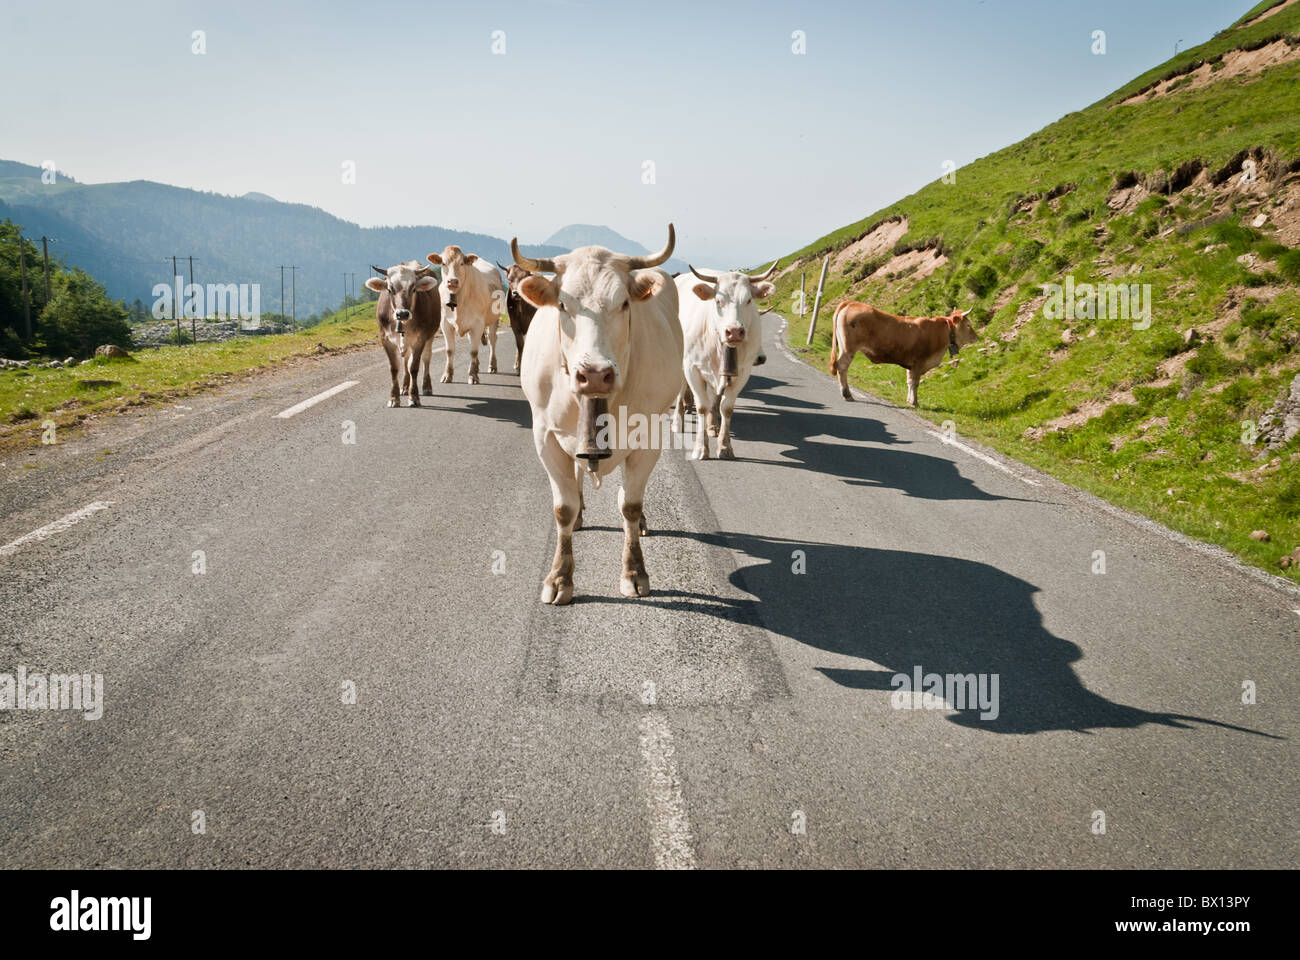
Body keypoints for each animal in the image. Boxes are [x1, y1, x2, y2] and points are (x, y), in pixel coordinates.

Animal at [364, 261, 440, 407]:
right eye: (389, 289)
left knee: (426, 358)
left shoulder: (420, 339)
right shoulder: (385, 339)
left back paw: (426, 387)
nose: (402, 314)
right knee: (405, 362)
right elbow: (394, 368)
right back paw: (404, 387)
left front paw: (414, 397)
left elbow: (414, 367)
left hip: (429, 337)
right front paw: (394, 397)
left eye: (414, 289)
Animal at [425, 246, 506, 384]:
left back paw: (492, 365)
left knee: (492, 340)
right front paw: (447, 375)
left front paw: (472, 375)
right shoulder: (445, 324)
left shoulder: (478, 324)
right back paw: (477, 366)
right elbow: (449, 350)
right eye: (443, 263)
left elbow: (473, 351)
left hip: (493, 320)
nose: (452, 281)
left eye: (461, 263)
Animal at [510, 224, 682, 605]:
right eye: (562, 304)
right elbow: (563, 508)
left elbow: (630, 504)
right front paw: (559, 577)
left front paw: (634, 572)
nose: (594, 374)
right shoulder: (545, 437)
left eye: (624, 303)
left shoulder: (649, 437)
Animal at [671, 262, 777, 459]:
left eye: (749, 300)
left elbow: (725, 407)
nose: (734, 331)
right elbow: (702, 406)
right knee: (681, 390)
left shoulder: (742, 373)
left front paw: (724, 445)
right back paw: (677, 421)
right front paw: (701, 448)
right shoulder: (692, 367)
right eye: (718, 301)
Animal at [829, 303, 978, 407]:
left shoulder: (911, 365)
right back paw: (847, 394)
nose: (977, 337)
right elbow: (915, 383)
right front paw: (915, 403)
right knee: (842, 366)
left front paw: (909, 400)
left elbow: (909, 382)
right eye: (969, 325)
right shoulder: (918, 362)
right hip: (849, 348)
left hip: (843, 346)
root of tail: (851, 303)